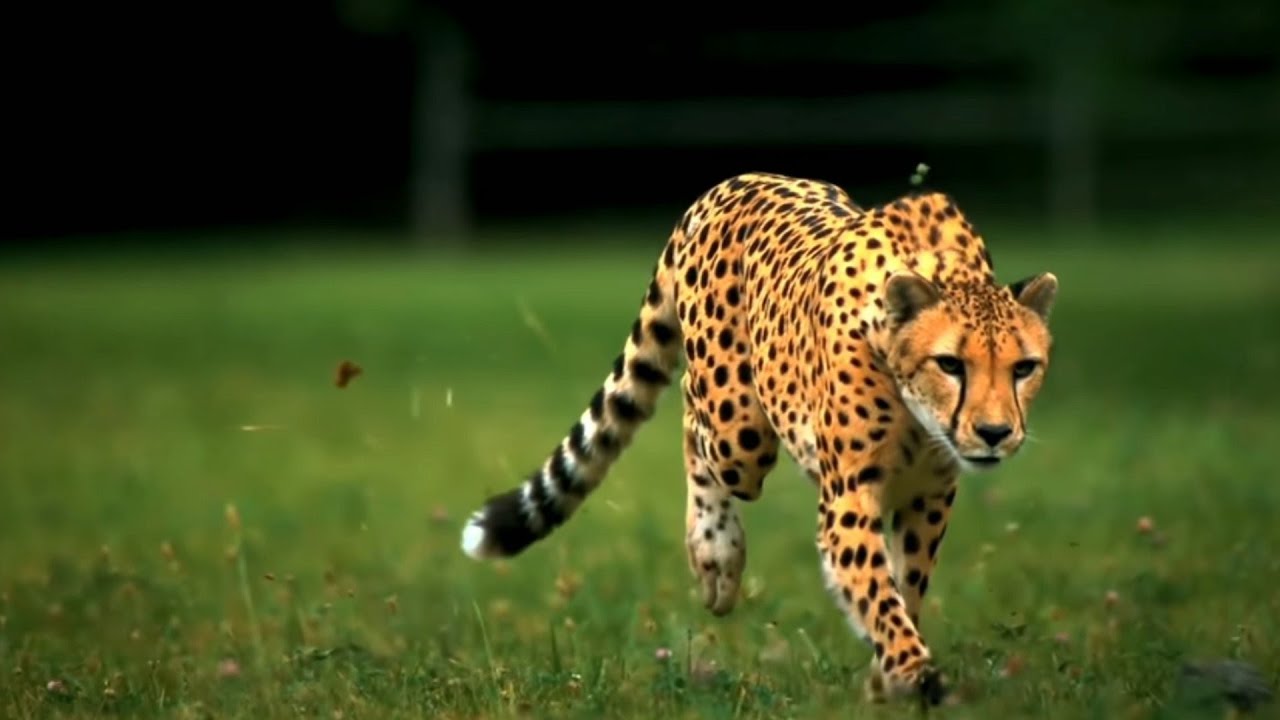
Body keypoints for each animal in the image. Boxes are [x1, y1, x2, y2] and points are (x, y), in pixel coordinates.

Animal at [459, 170, 1059, 707]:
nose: (995, 433)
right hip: (738, 429)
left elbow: (905, 586)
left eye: (1024, 368)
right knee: (691, 415)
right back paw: (715, 553)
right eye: (950, 364)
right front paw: (914, 672)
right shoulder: (848, 496)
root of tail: (731, 183)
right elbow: (878, 593)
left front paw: (886, 677)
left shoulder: (928, 496)